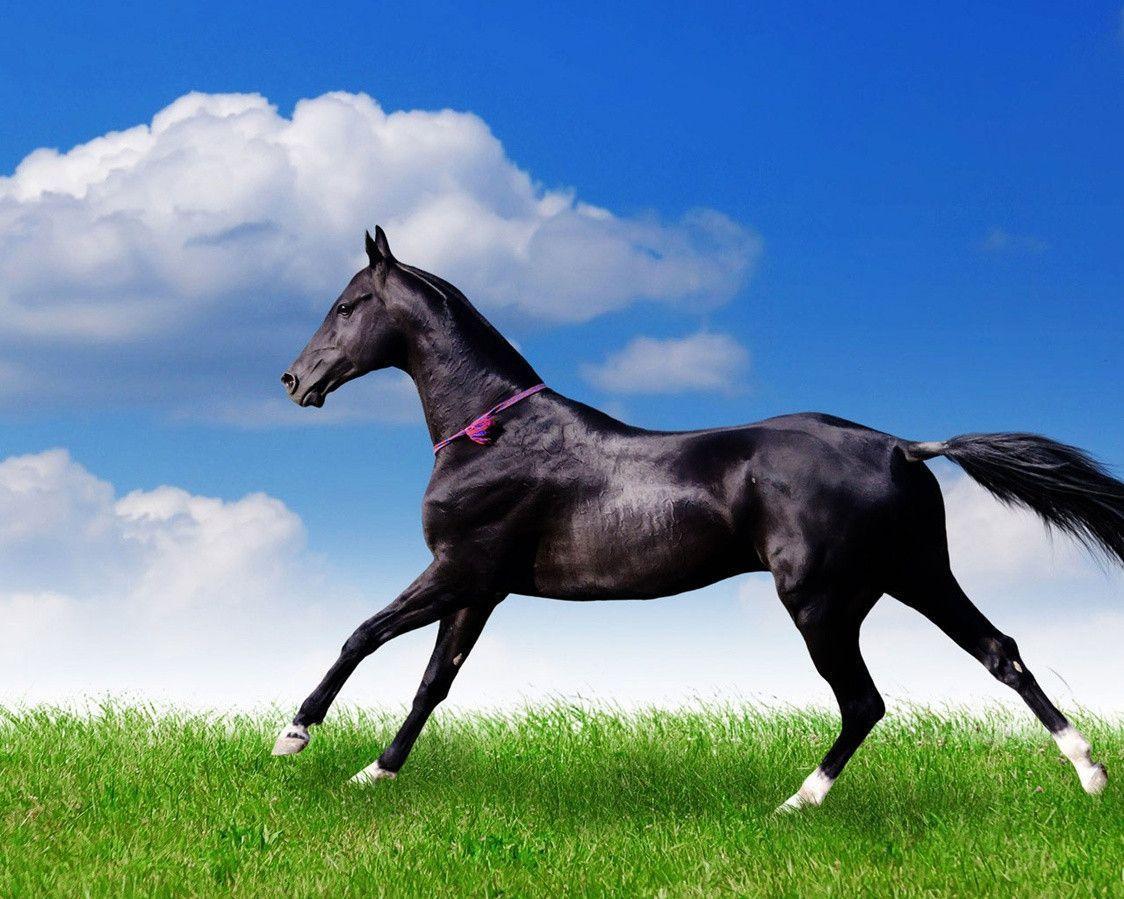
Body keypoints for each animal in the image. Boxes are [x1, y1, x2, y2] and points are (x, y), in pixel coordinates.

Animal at [273, 227, 1123, 811]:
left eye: (348, 304)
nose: (294, 379)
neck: (495, 433)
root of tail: (902, 448)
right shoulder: (479, 587)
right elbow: (432, 683)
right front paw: (374, 771)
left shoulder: (458, 568)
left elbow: (361, 635)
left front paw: (294, 736)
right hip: (916, 574)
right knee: (999, 652)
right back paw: (1089, 771)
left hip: (821, 602)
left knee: (865, 701)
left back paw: (796, 802)